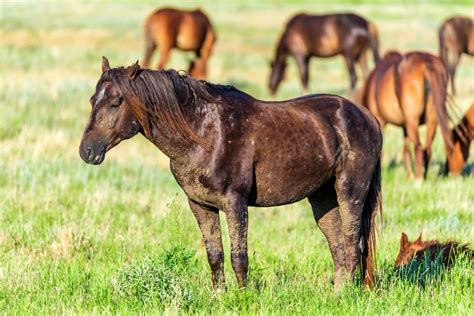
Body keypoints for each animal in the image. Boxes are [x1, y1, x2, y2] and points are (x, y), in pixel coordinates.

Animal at [78, 58, 382, 290]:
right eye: (92, 100)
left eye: (116, 102)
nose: (87, 151)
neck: (204, 133)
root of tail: (367, 117)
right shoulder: (200, 205)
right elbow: (215, 254)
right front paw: (219, 295)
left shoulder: (235, 203)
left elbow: (239, 256)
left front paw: (243, 297)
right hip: (322, 198)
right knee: (338, 247)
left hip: (350, 192)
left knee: (353, 245)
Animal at [362, 51, 454, 180]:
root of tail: (426, 63)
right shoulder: (405, 127)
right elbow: (406, 151)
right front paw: (409, 176)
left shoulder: (381, 122)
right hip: (432, 121)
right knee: (427, 148)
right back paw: (424, 177)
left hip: (413, 122)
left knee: (418, 148)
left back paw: (419, 179)